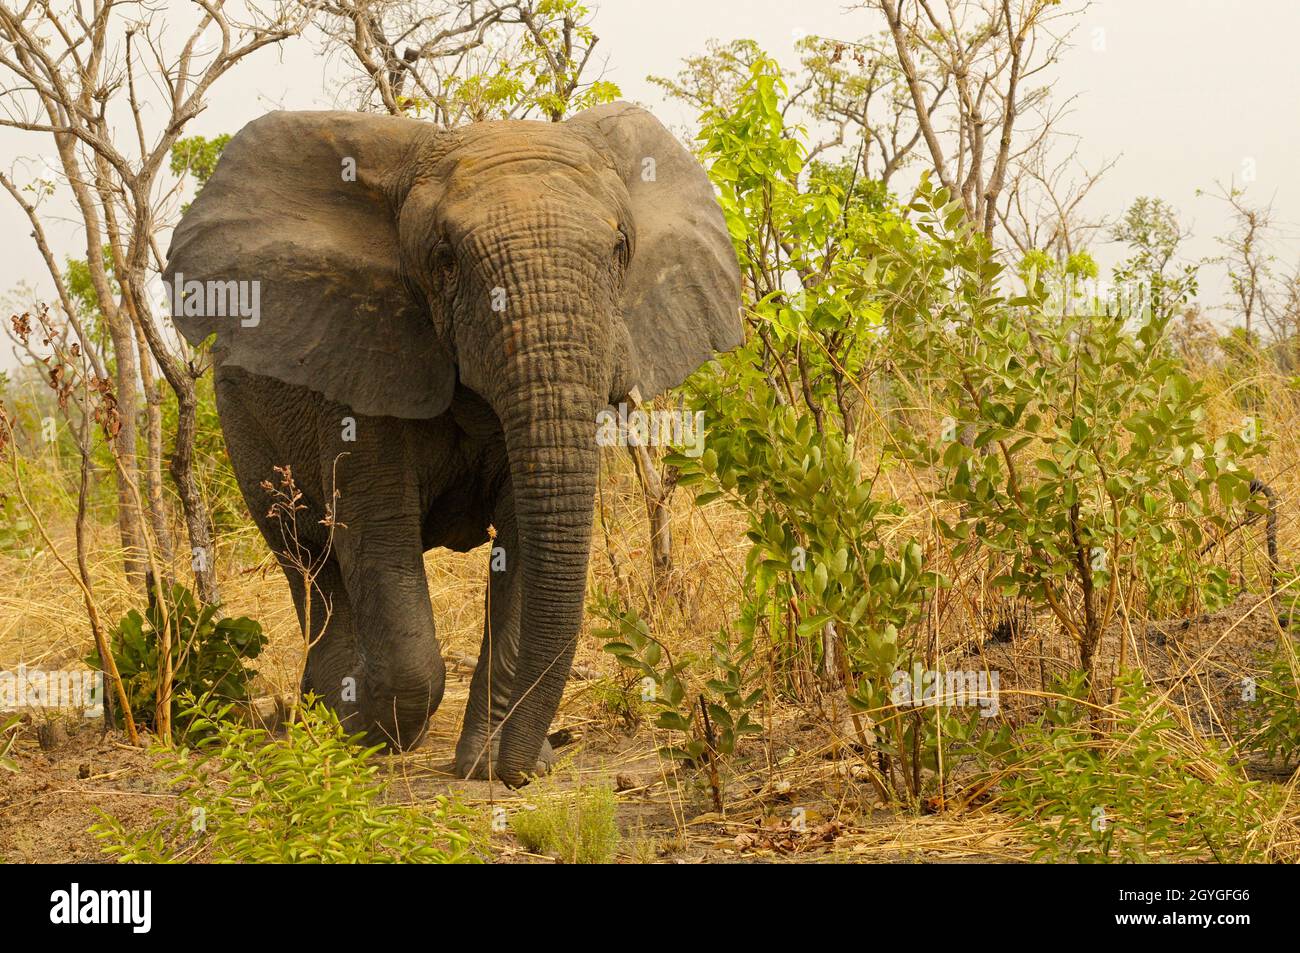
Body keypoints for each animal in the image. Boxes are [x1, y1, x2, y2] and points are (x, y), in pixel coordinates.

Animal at [163, 103, 742, 785]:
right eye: (444, 259)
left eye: (622, 249)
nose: (527, 766)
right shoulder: (361, 364)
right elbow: (378, 543)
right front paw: (368, 734)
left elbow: (525, 541)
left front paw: (491, 765)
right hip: (242, 420)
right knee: (306, 559)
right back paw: (328, 721)